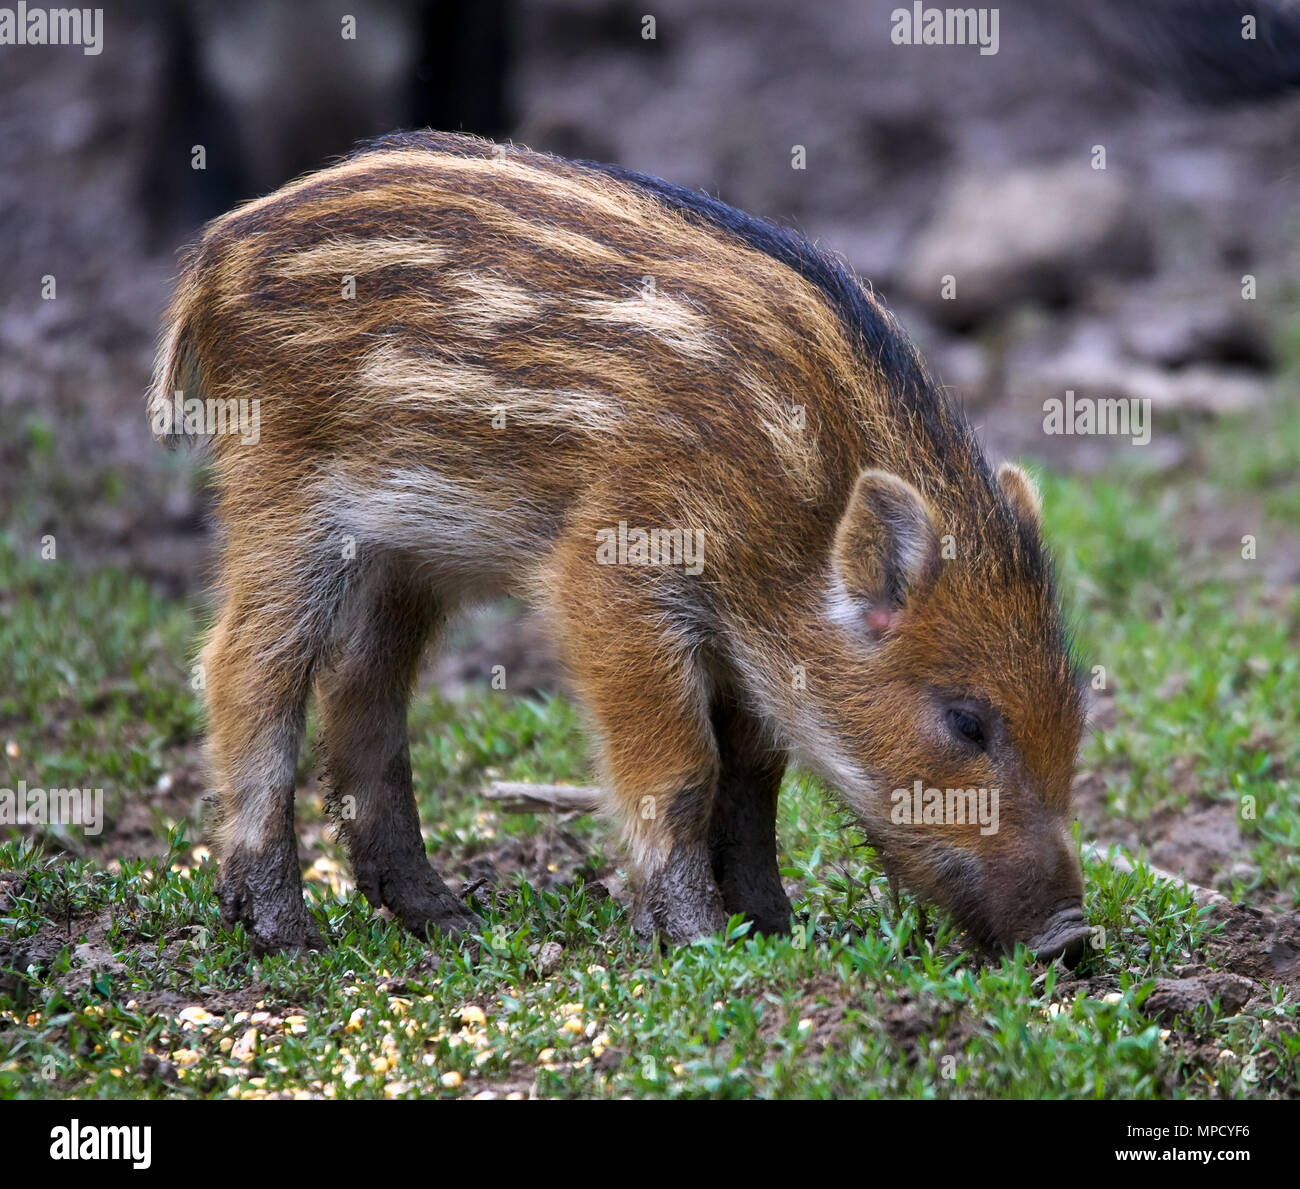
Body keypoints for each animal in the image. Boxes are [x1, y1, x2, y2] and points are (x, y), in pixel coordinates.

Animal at [149, 130, 1091, 963]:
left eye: (1077, 711)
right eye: (966, 720)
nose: (1070, 939)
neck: (801, 499)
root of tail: (211, 256)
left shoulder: (747, 639)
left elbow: (754, 777)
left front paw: (773, 929)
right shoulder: (615, 567)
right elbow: (686, 768)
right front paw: (701, 939)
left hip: (403, 551)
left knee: (362, 691)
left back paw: (445, 919)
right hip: (286, 492)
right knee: (245, 667)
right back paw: (283, 929)